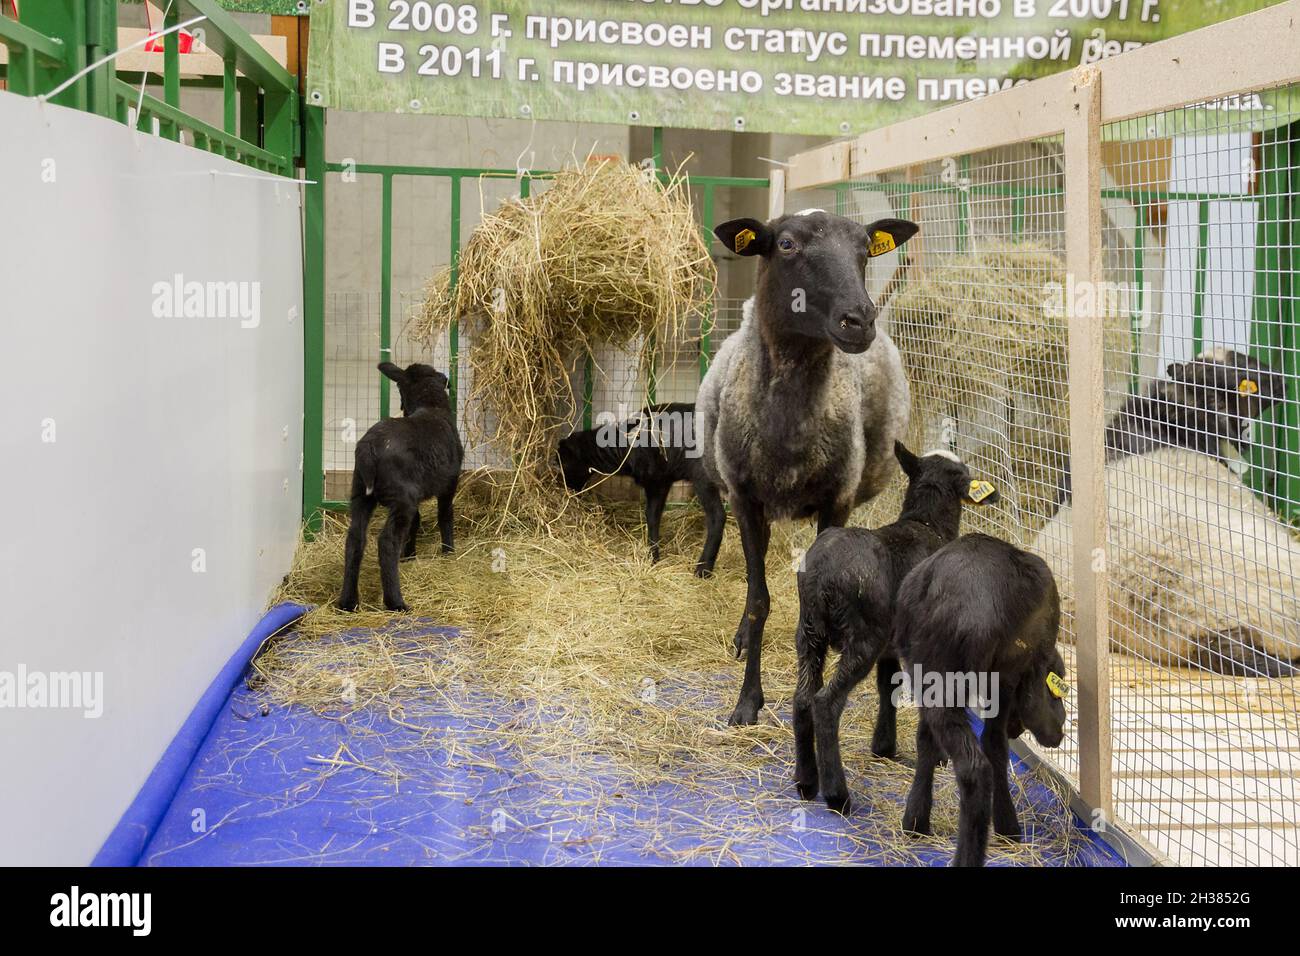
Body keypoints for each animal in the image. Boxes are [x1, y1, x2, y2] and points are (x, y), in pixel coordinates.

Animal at [338, 362, 464, 612]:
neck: (431, 406)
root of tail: (369, 449)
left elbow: (416, 522)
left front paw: (409, 555)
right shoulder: (449, 483)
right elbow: (445, 516)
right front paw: (448, 551)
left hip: (361, 493)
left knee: (355, 539)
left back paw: (348, 602)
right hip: (401, 497)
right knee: (387, 542)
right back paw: (396, 602)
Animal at [557, 402, 726, 576]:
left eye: (563, 463)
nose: (561, 485)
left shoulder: (654, 481)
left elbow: (651, 516)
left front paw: (653, 556)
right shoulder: (664, 480)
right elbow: (655, 516)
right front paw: (654, 556)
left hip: (703, 476)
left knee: (717, 517)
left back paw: (703, 569)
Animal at [696, 209, 919, 725]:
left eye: (865, 249)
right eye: (786, 245)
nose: (859, 320)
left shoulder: (836, 502)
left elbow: (807, 608)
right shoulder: (745, 499)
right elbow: (759, 600)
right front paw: (747, 702)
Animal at [794, 443, 1001, 814]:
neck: (927, 524)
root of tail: (823, 574)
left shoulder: (892, 646)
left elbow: (887, 687)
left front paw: (884, 749)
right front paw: (936, 756)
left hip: (810, 631)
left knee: (803, 698)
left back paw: (806, 782)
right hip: (862, 637)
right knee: (825, 703)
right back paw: (837, 795)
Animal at [893, 533, 1069, 867]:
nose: (1059, 732)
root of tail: (977, 613)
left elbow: (925, 739)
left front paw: (915, 821)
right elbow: (993, 743)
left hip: (946, 678)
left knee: (975, 766)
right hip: (997, 674)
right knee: (989, 749)